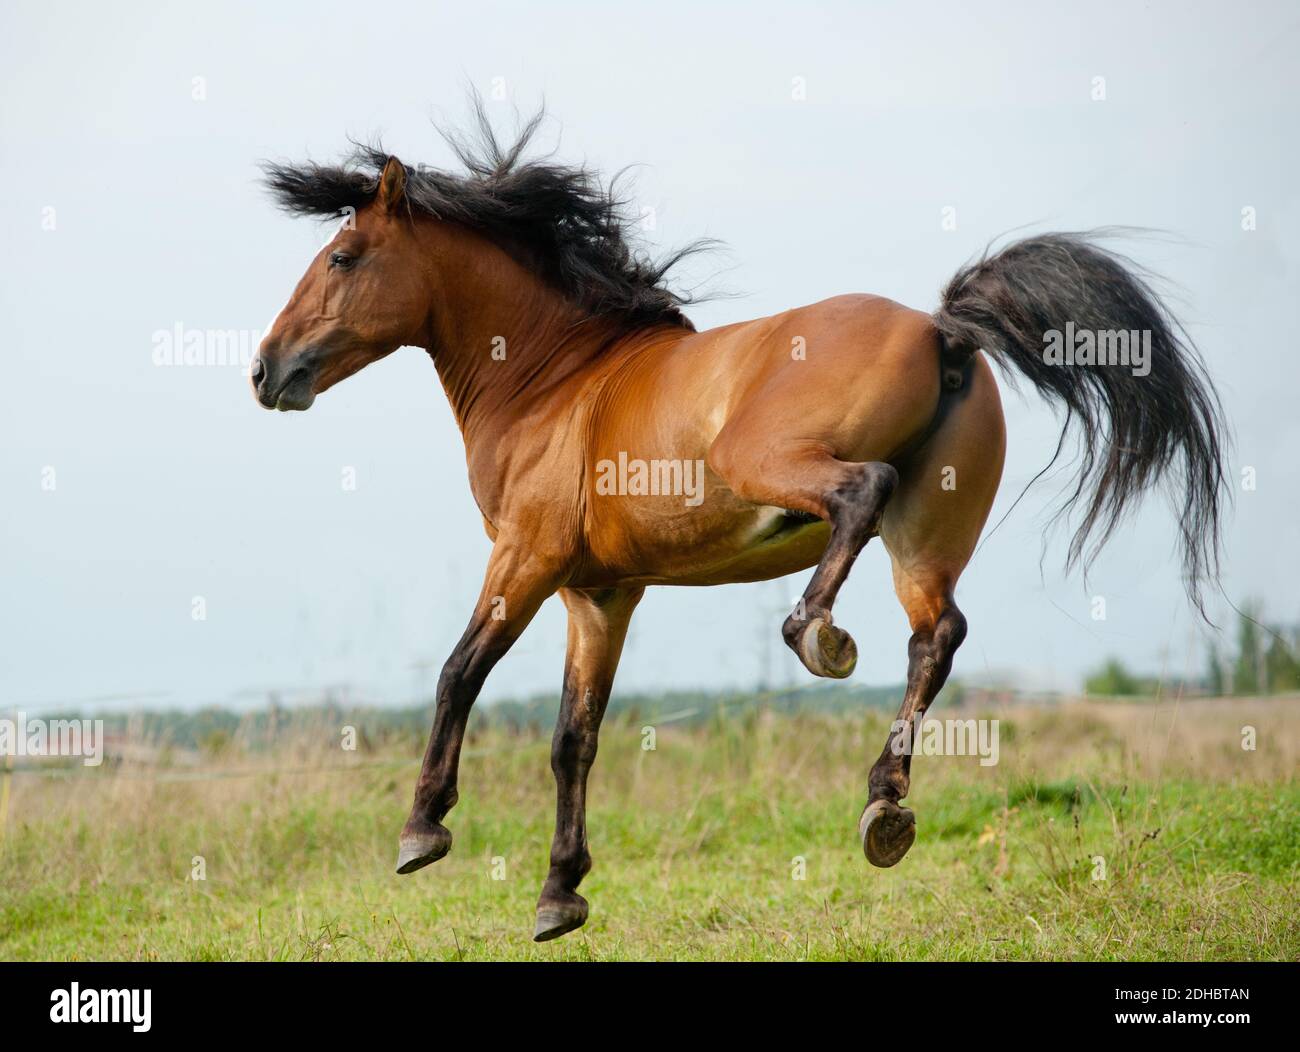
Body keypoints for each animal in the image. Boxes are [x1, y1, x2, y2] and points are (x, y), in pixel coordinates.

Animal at [253, 109, 1227, 941]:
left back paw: (815, 634)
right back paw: (883, 805)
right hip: (928, 539)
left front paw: (423, 830)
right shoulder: (600, 596)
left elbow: (460, 674)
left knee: (860, 496)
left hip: (771, 464)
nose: (267, 370)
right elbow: (575, 738)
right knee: (936, 634)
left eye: (342, 257)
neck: (554, 382)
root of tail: (942, 330)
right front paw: (560, 893)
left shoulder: (527, 559)